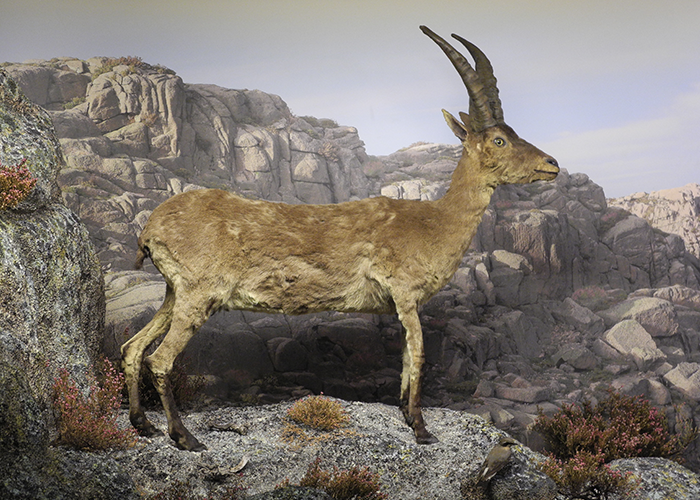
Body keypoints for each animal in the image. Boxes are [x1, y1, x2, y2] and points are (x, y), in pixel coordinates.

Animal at [121, 26, 559, 451]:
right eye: (499, 140)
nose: (552, 164)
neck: (434, 223)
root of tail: (150, 229)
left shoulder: (400, 304)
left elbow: (404, 359)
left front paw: (406, 415)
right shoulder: (404, 293)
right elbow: (417, 356)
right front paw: (421, 429)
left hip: (176, 292)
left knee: (132, 348)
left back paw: (143, 425)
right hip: (199, 293)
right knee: (159, 360)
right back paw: (184, 437)